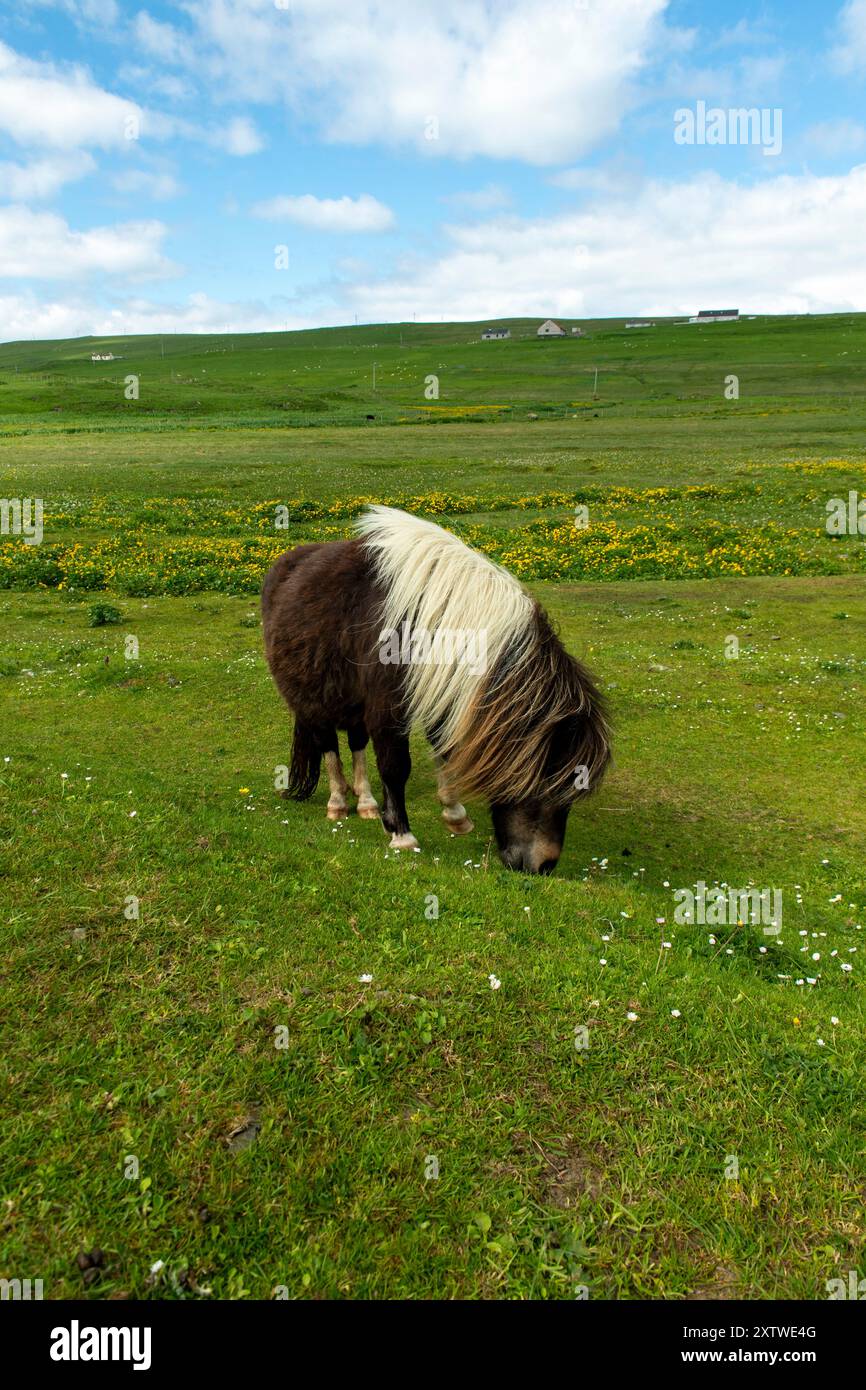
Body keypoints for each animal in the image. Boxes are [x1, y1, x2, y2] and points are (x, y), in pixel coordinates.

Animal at [261, 505, 610, 874]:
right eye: (547, 782)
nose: (543, 865)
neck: (428, 621)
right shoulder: (387, 710)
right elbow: (395, 766)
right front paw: (401, 833)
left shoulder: (440, 692)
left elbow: (445, 750)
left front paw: (453, 814)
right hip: (314, 703)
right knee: (328, 746)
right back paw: (339, 801)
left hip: (352, 705)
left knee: (356, 744)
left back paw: (367, 802)